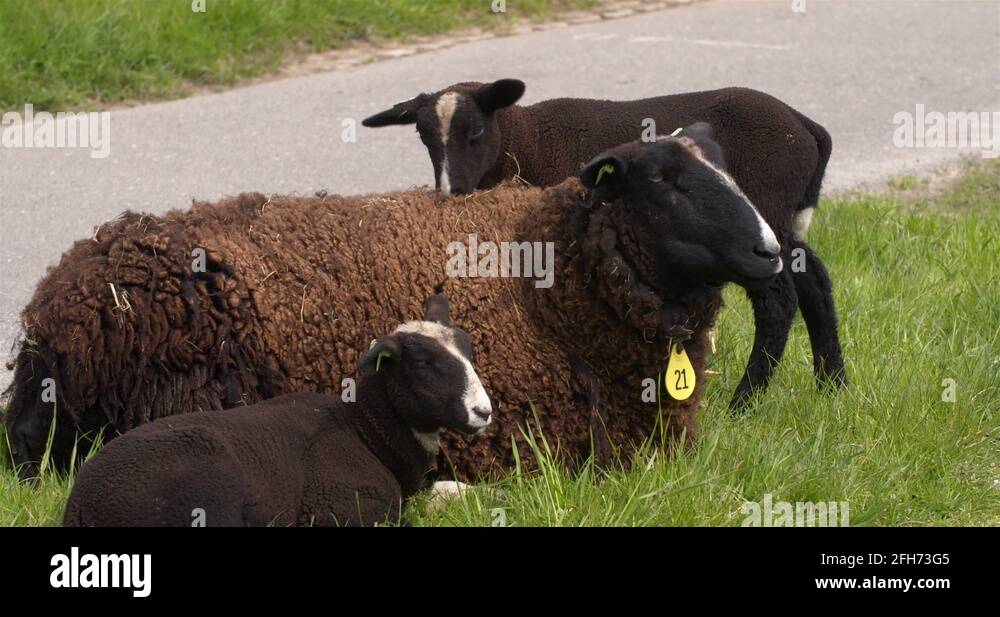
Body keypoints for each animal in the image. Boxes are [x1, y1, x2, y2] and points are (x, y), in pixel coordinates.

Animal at [63, 293, 492, 527]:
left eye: (468, 349)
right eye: (422, 363)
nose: (484, 412)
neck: (366, 432)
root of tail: (81, 505)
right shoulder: (344, 508)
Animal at [362, 80, 847, 409]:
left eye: (476, 133)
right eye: (425, 138)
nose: (451, 192)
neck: (526, 139)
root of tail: (806, 126)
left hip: (759, 221)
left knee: (778, 299)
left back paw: (744, 403)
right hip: (780, 224)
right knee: (815, 280)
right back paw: (833, 385)